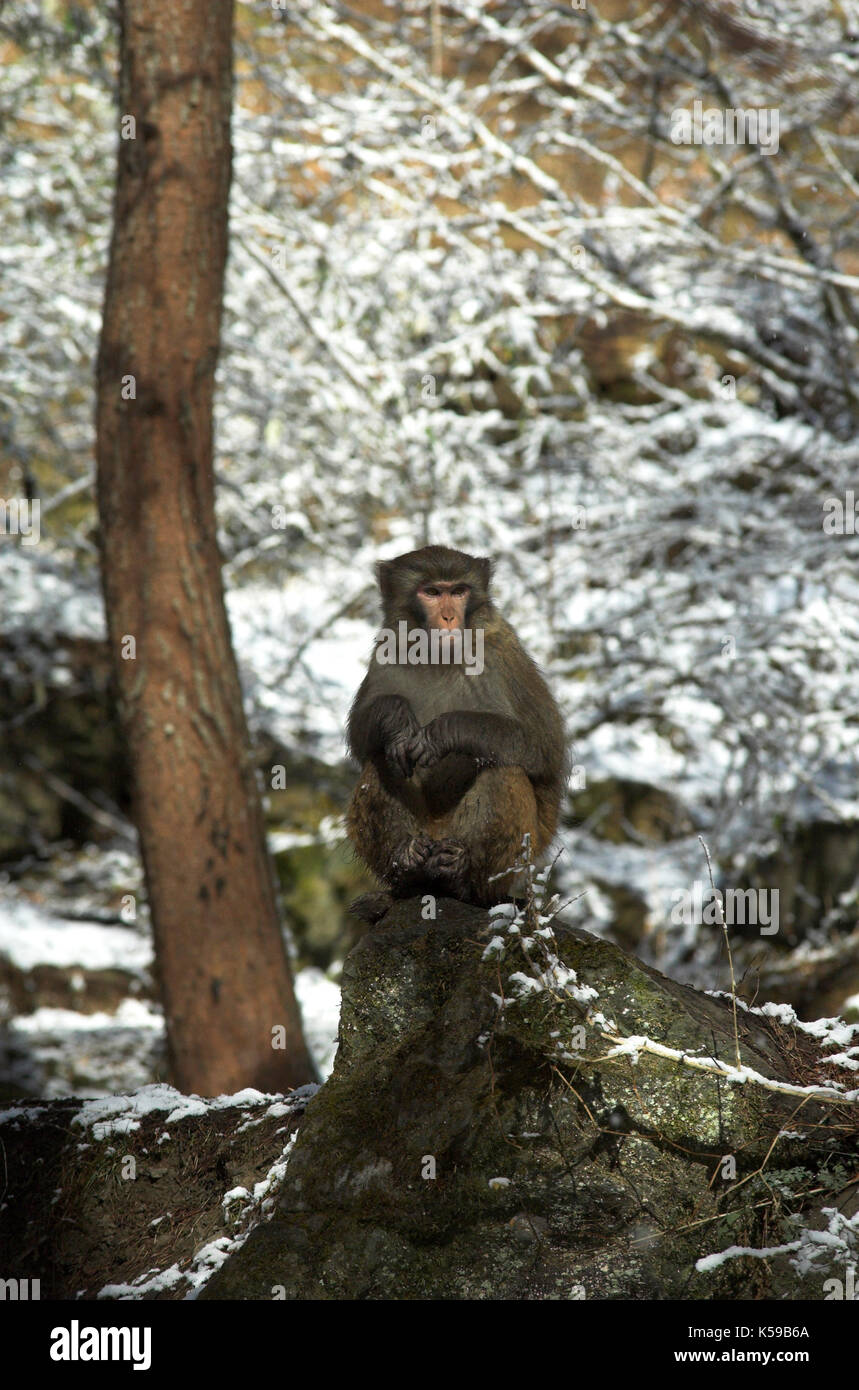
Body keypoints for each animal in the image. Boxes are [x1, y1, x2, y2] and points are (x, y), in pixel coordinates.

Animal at [346, 545, 568, 909]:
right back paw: (407, 864)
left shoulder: (501, 656)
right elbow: (362, 739)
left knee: (504, 766)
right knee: (380, 759)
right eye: (433, 592)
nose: (450, 618)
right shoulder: (386, 654)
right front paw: (394, 719)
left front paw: (444, 733)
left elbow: (545, 747)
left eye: (459, 591)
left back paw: (461, 872)